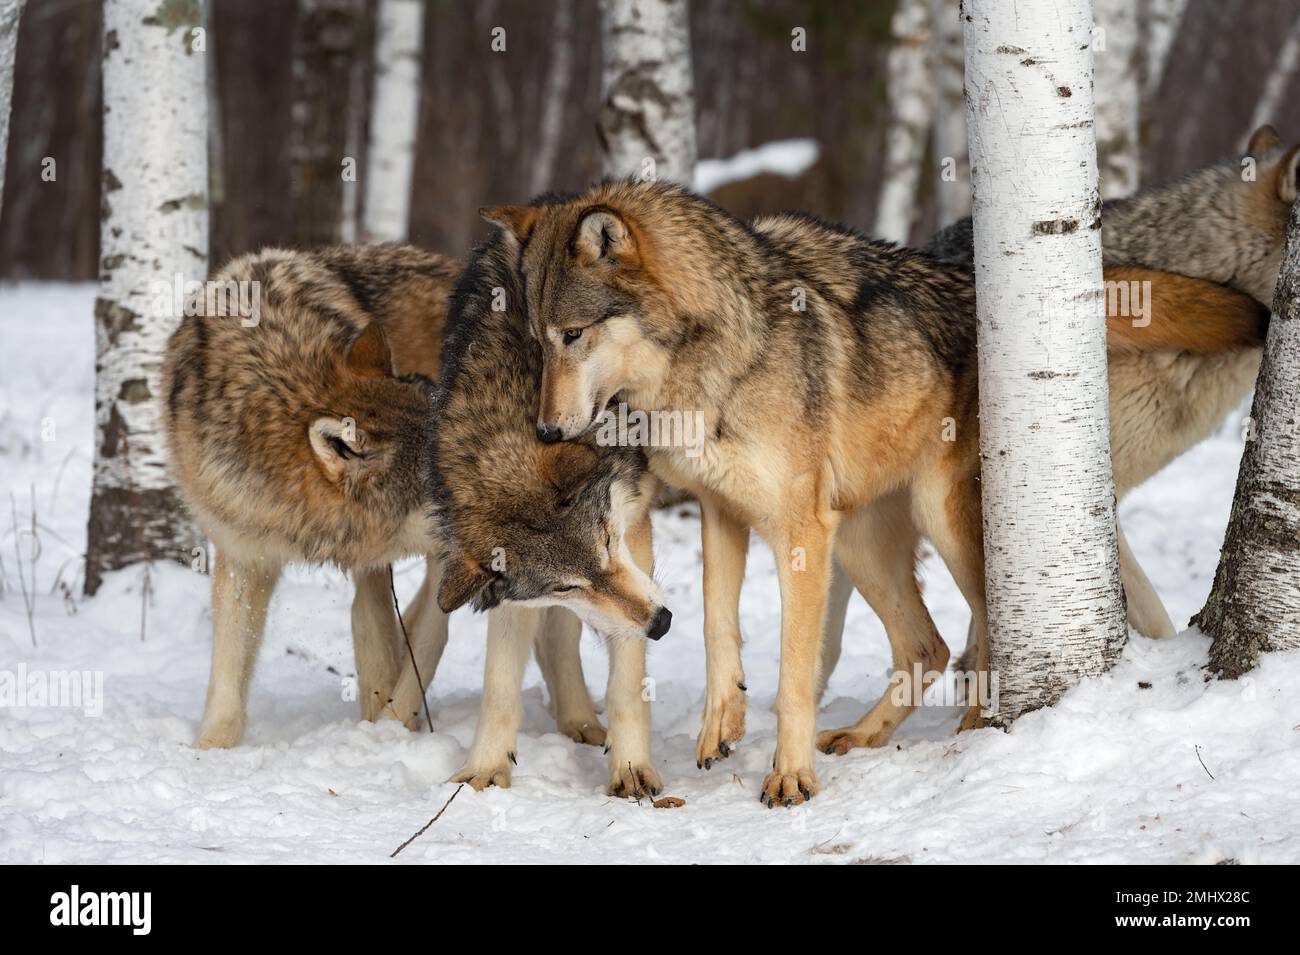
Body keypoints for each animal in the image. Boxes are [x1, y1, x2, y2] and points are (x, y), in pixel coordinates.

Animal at [161, 243, 607, 750]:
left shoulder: (376, 563)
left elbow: (375, 637)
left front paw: (380, 728)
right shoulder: (242, 555)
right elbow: (227, 671)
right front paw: (210, 750)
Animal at [404, 226, 670, 797]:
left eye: (607, 541)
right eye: (566, 584)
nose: (661, 624)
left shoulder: (634, 526)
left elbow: (626, 680)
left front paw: (631, 768)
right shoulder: (514, 593)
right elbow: (500, 685)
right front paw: (483, 770)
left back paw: (583, 723)